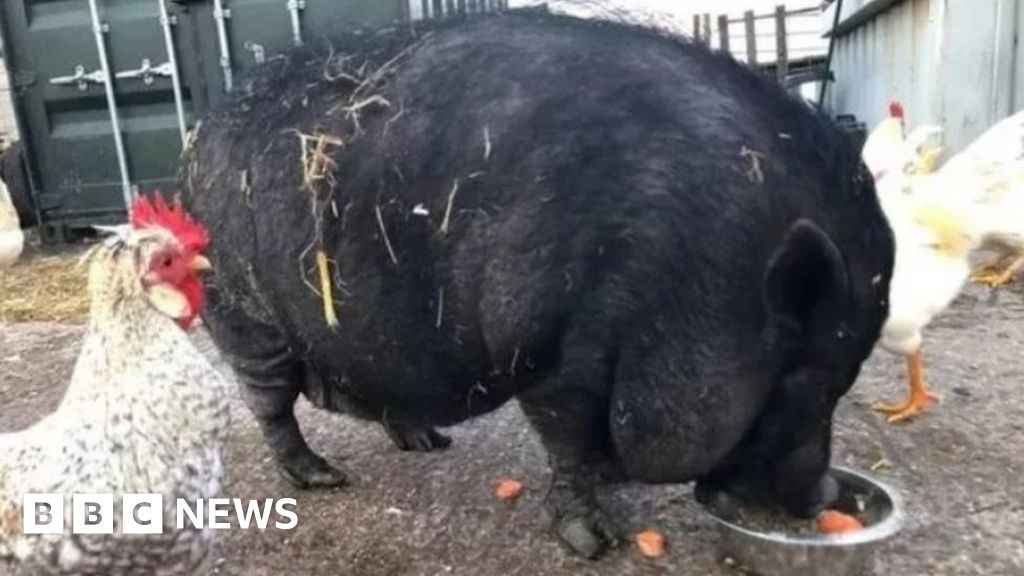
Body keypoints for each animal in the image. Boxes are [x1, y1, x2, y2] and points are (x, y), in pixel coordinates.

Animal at [183, 10, 894, 558]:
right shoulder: (560, 355)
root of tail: (198, 139)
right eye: (808, 380)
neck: (695, 282)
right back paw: (324, 478)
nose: (826, 496)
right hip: (248, 319)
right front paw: (594, 544)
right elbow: (571, 446)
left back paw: (428, 443)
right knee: (271, 406)